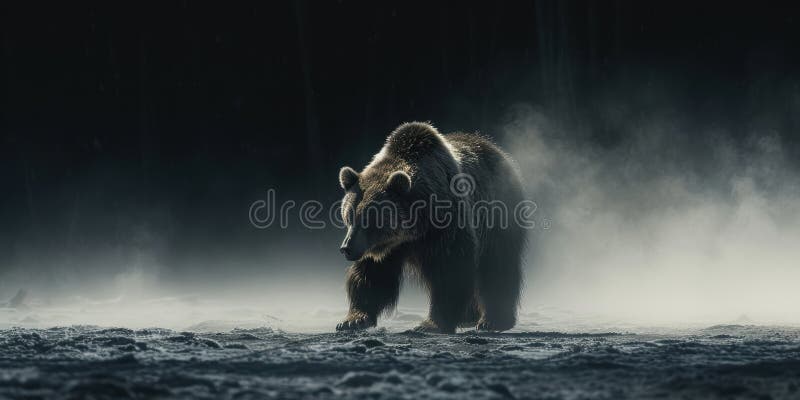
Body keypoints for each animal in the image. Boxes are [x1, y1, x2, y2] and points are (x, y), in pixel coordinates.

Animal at [336, 121, 526, 333]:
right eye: (349, 216)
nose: (346, 248)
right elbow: (371, 275)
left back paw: (493, 320)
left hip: (498, 215)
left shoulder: (445, 225)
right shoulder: (386, 247)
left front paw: (431, 324)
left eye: (368, 218)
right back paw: (468, 317)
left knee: (497, 264)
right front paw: (354, 319)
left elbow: (451, 269)